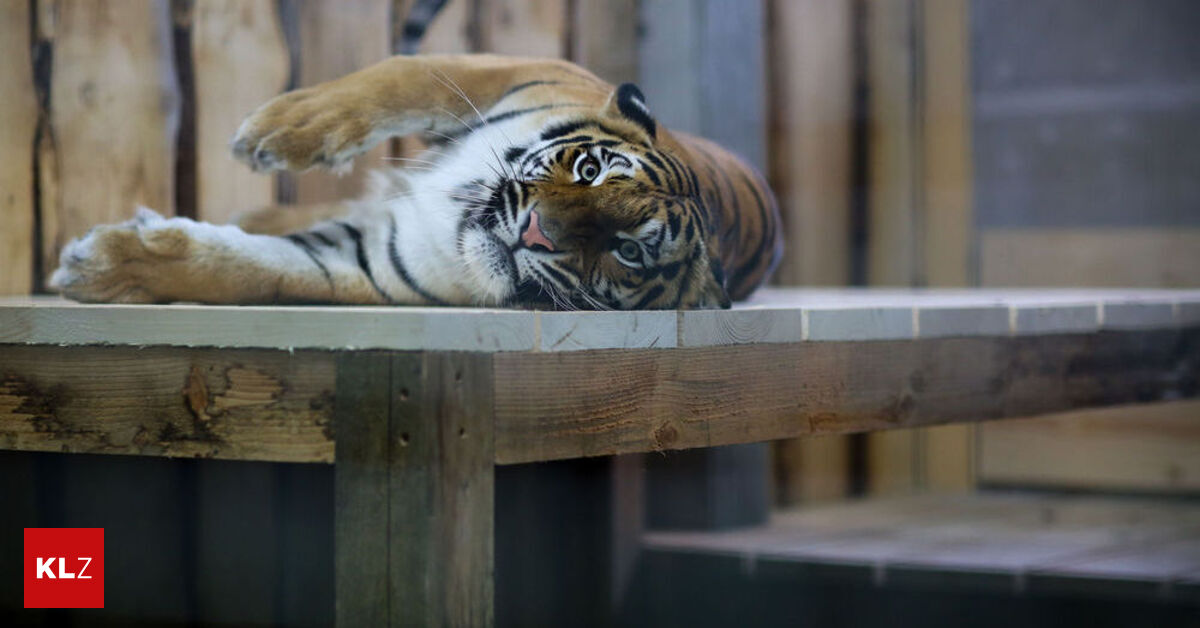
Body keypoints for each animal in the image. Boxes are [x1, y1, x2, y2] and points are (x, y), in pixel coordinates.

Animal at [49, 54, 783, 310]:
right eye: (589, 170)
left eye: (628, 250)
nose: (539, 235)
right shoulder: (501, 71)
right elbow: (395, 75)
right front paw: (280, 129)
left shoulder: (367, 261)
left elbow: (256, 271)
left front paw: (102, 266)